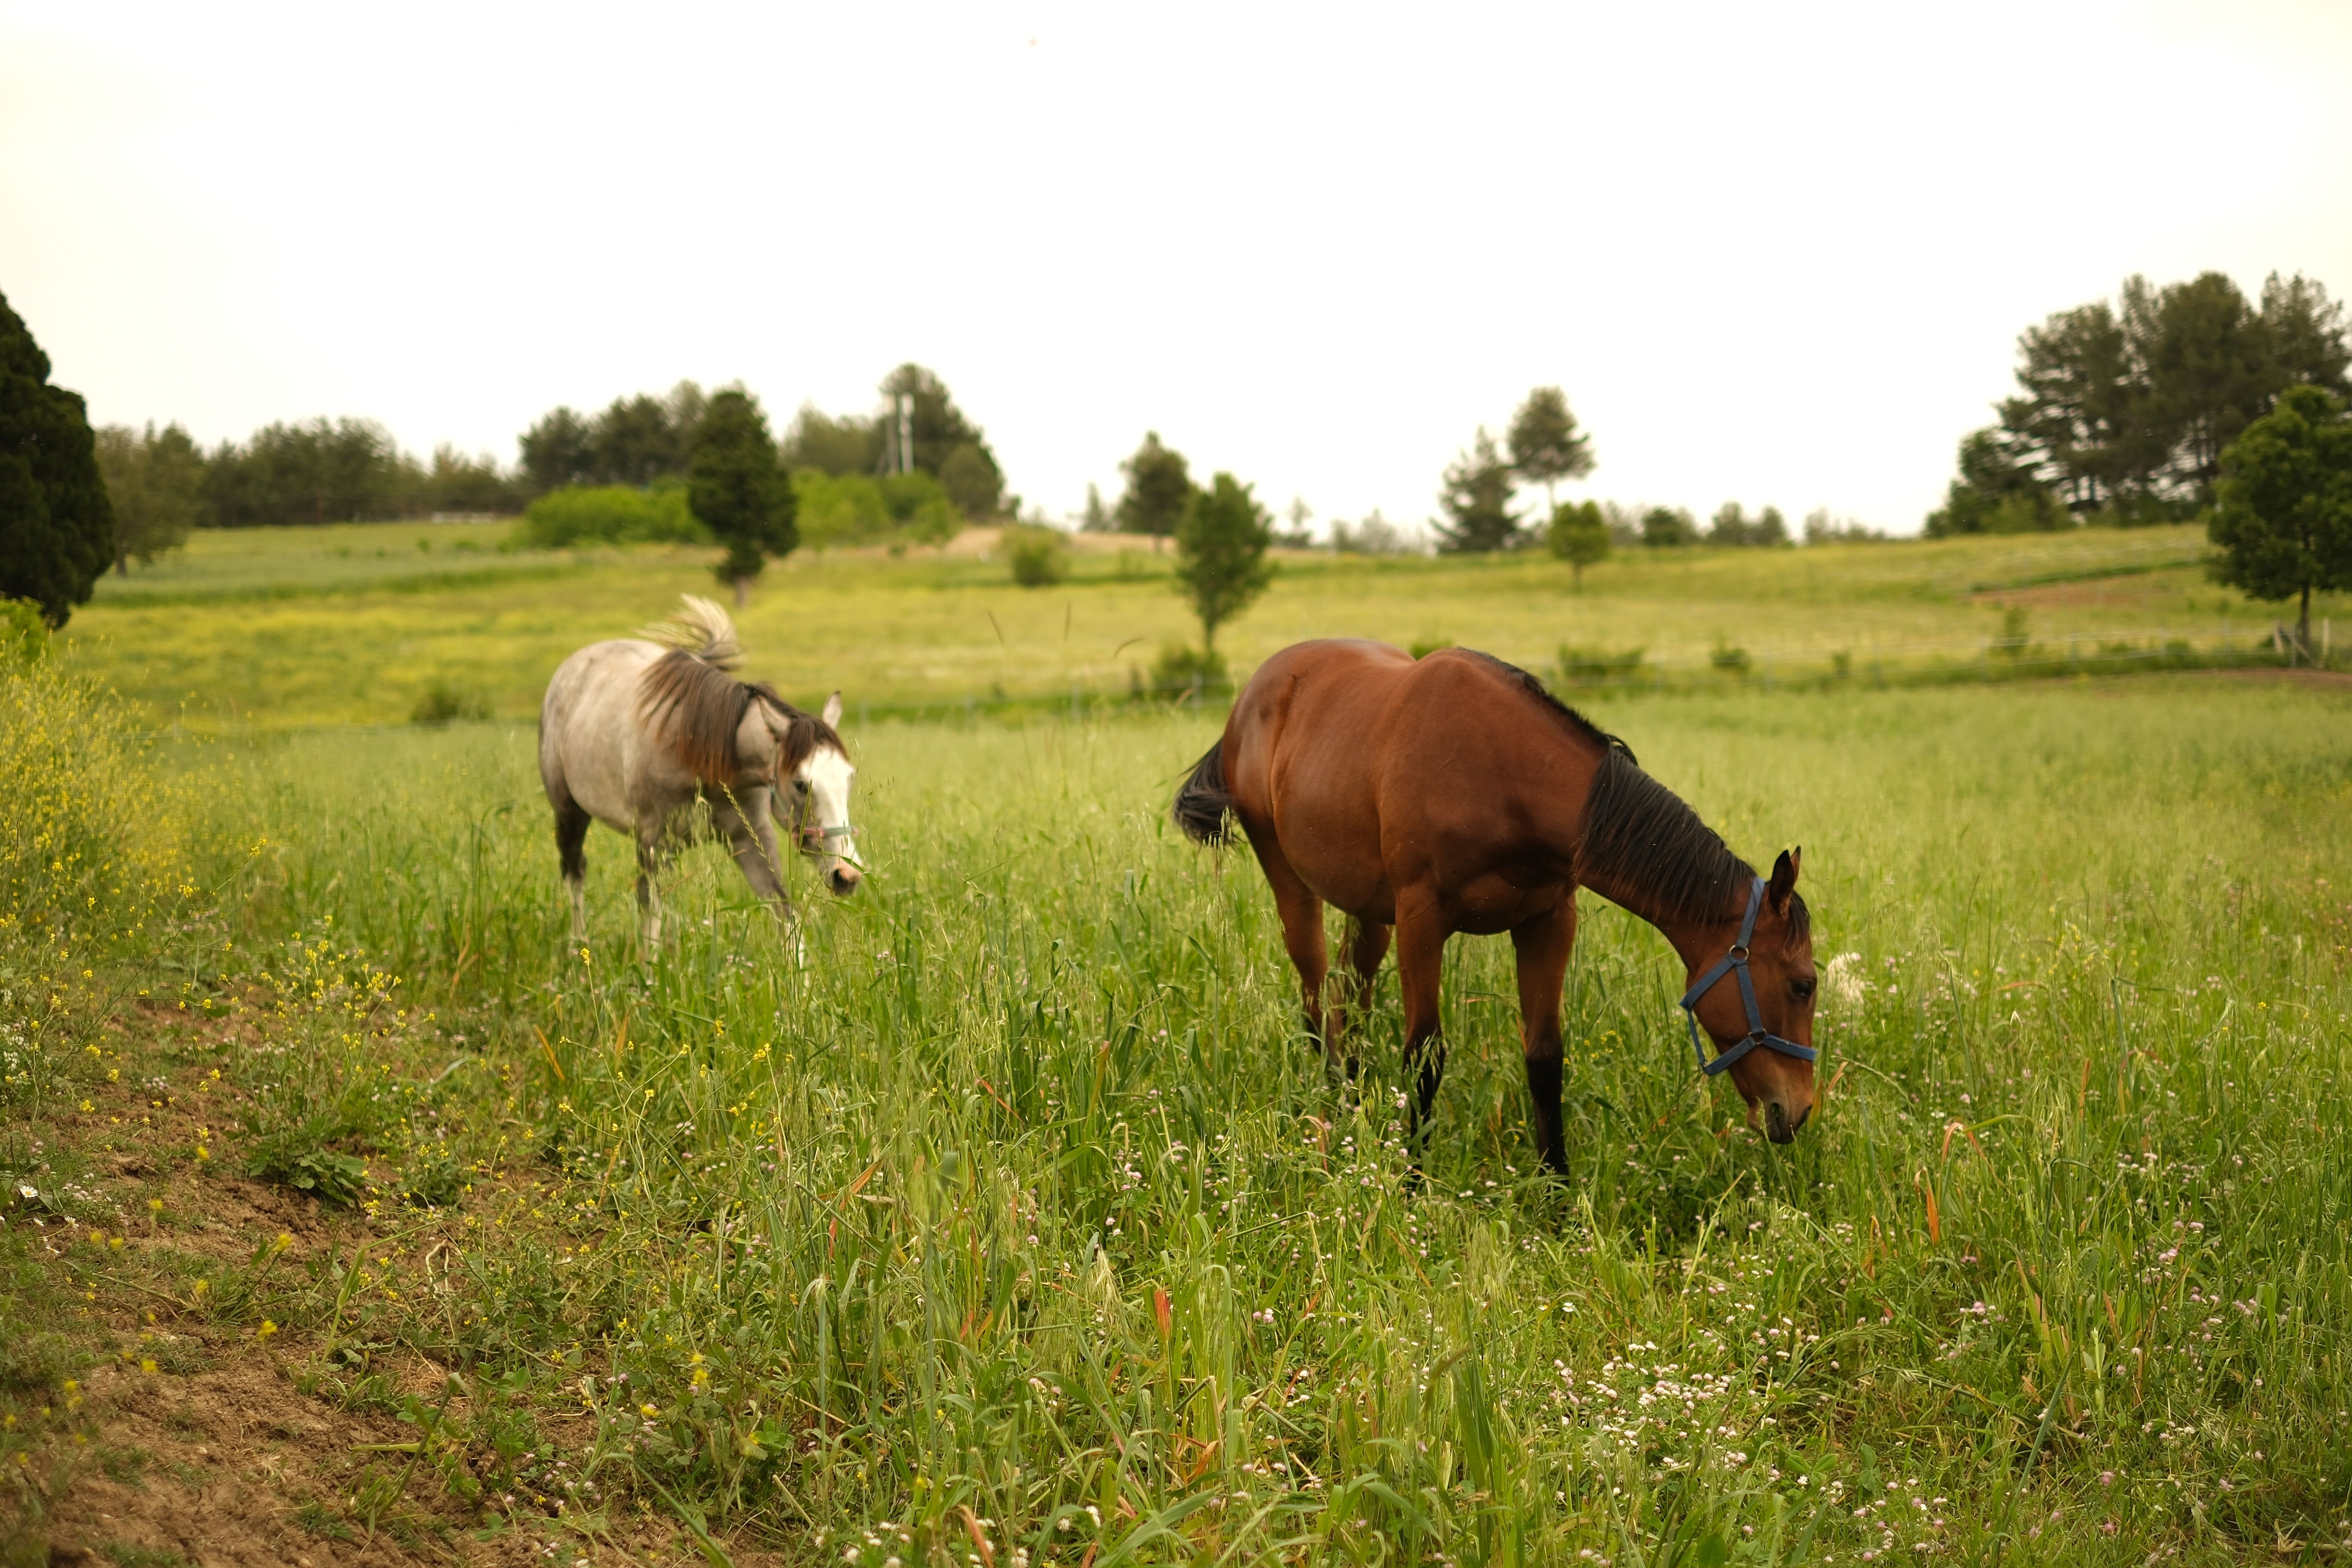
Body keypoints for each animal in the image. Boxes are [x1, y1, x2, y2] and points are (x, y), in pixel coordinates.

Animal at [539, 595, 861, 945]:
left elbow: (783, 910)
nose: (848, 875)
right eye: (801, 785)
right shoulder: (653, 842)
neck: (702, 755)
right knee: (575, 872)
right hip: (570, 813)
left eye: (849, 777)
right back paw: (578, 948)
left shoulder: (750, 837)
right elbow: (649, 912)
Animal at [1171, 638, 1816, 1173]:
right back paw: (1329, 1101)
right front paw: (1414, 1185)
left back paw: (1353, 1104)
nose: (1801, 1109)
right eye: (1803, 984)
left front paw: (1558, 1197)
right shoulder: (1423, 921)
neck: (1502, 775)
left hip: (1369, 911)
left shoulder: (1548, 922)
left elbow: (1545, 1058)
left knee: (1350, 997)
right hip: (1289, 878)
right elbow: (1425, 1058)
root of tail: (1253, 694)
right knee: (1313, 989)